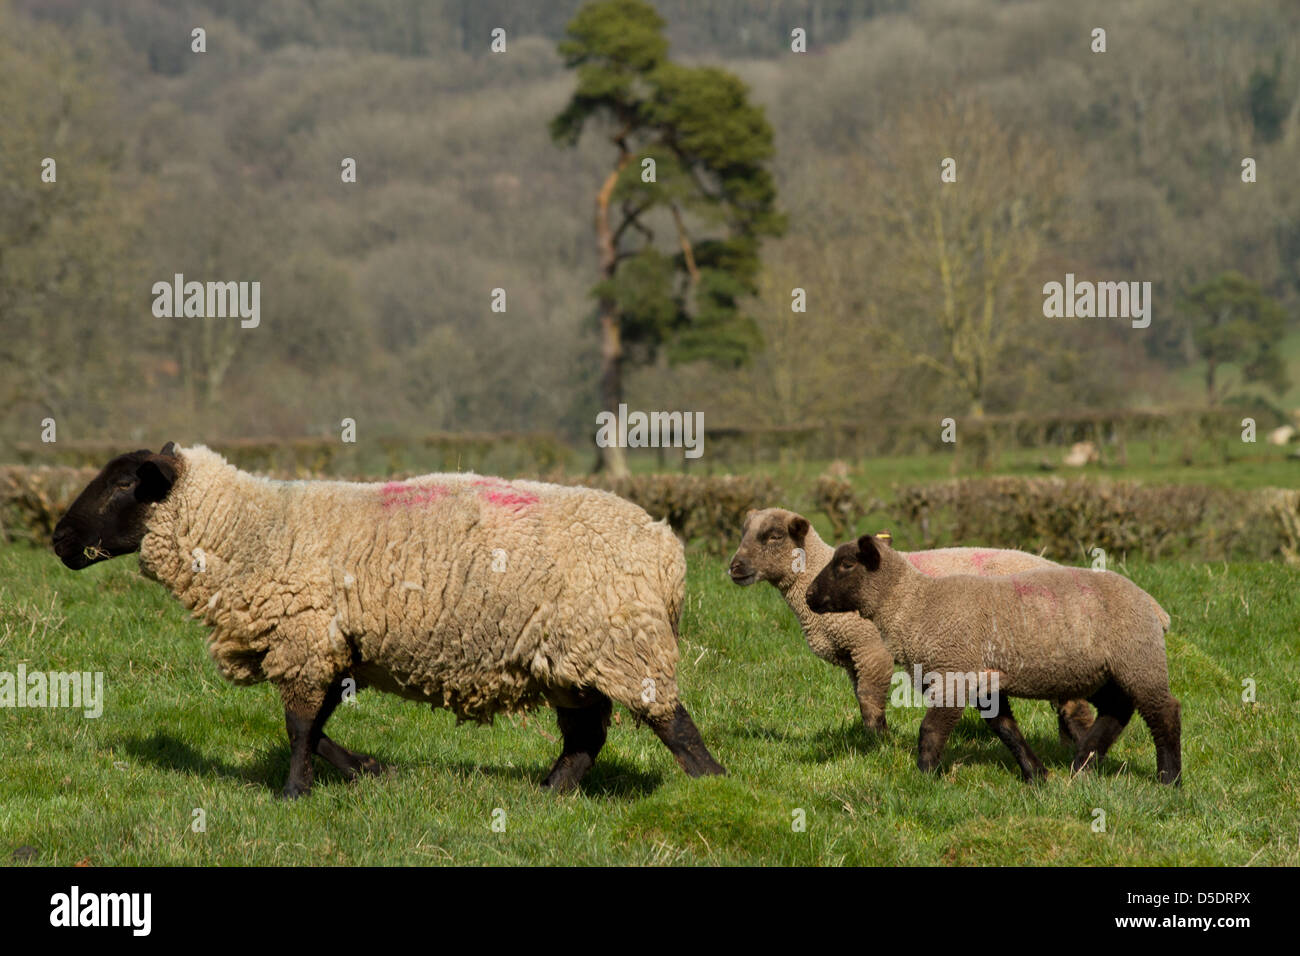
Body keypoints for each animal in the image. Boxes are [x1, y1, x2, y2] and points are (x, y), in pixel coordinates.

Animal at [52, 443, 725, 797]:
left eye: (122, 486)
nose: (58, 539)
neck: (251, 532)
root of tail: (667, 551)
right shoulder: (331, 646)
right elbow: (318, 727)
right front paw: (370, 771)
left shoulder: (305, 639)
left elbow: (298, 727)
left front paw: (293, 794)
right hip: (568, 659)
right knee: (586, 738)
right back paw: (549, 794)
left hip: (622, 642)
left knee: (672, 724)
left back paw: (714, 784)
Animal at [728, 508, 1095, 742]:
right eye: (743, 533)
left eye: (774, 536)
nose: (734, 568)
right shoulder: (852, 656)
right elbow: (860, 697)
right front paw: (873, 739)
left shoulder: (870, 649)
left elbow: (869, 699)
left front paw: (879, 743)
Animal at [805, 534, 1180, 785]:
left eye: (846, 564)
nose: (809, 596)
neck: (915, 606)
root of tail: (1152, 604)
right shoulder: (982, 681)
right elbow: (1005, 728)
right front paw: (1036, 775)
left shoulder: (953, 672)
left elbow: (931, 728)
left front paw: (924, 777)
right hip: (1102, 671)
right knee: (1118, 709)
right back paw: (1083, 763)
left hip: (1138, 657)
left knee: (1164, 712)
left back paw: (1169, 779)